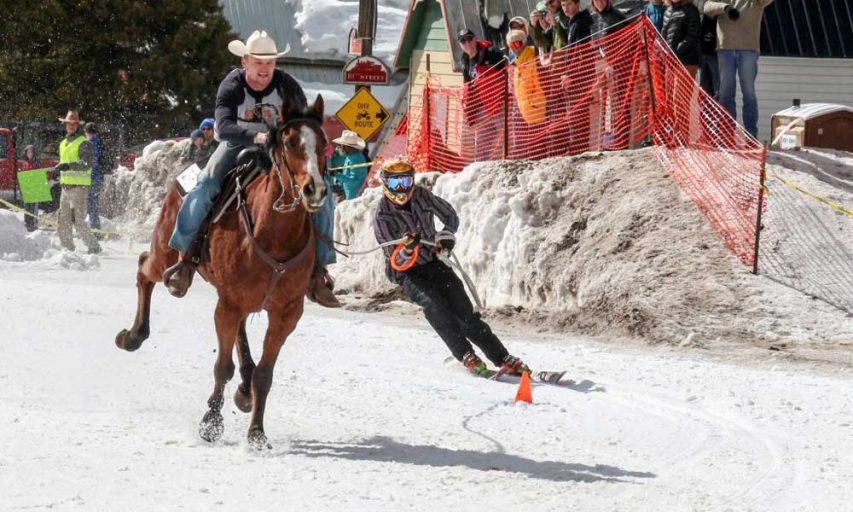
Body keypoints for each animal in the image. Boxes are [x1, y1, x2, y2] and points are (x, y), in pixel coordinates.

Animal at [115, 97, 328, 450]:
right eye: (288, 143)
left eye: (323, 143)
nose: (314, 190)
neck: (274, 234)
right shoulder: (227, 306)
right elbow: (222, 367)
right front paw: (211, 423)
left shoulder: (286, 313)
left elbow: (265, 375)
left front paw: (257, 433)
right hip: (166, 252)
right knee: (145, 268)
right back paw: (133, 335)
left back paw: (245, 388)